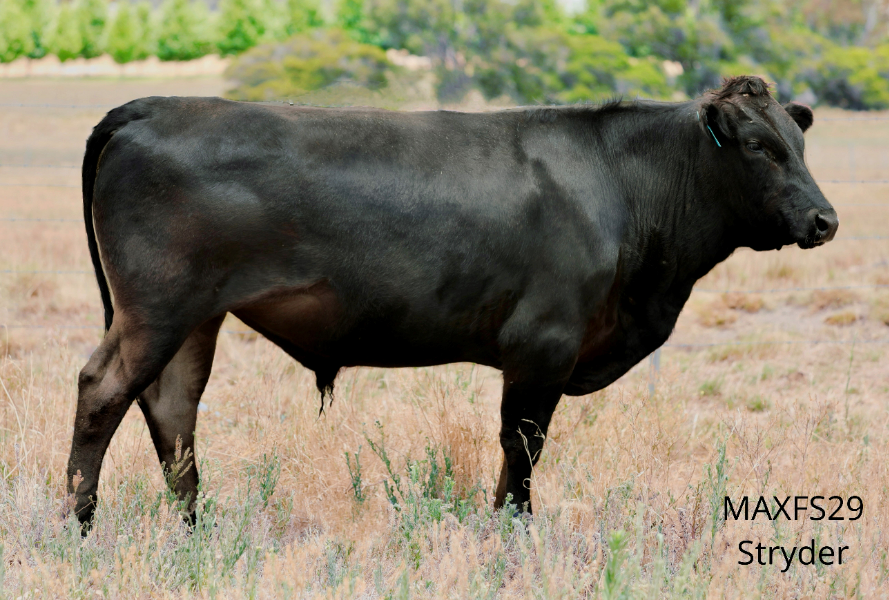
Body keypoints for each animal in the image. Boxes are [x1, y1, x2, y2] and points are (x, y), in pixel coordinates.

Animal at [67, 75, 837, 528]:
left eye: (800, 144)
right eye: (757, 146)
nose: (823, 220)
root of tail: (154, 105)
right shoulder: (544, 345)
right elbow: (522, 446)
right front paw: (511, 533)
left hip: (195, 317)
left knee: (172, 406)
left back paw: (194, 527)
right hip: (157, 307)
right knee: (103, 390)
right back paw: (80, 521)